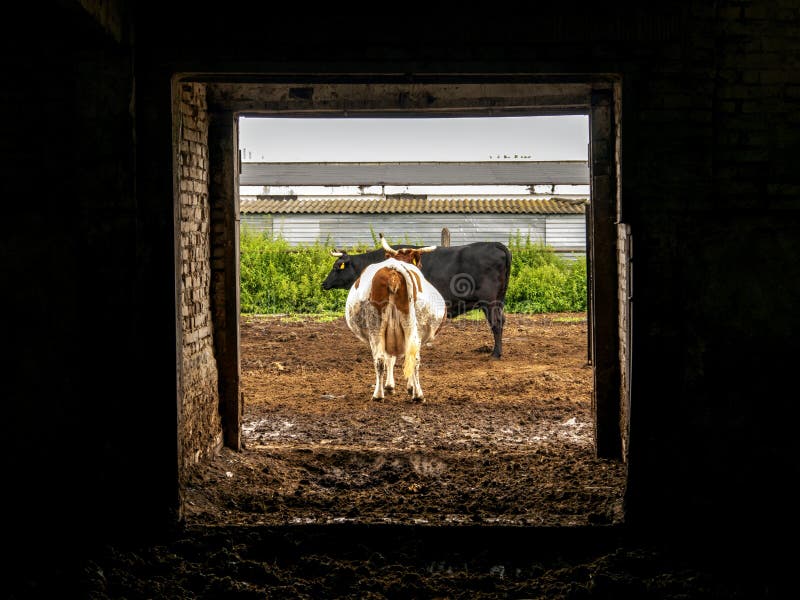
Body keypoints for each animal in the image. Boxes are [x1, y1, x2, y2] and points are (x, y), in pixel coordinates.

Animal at [323, 237, 511, 358]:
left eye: (336, 267)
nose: (323, 284)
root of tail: (495, 245)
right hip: (497, 302)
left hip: (490, 302)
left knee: (496, 323)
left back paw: (495, 354)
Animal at [344, 235, 446, 402]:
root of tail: (393, 269)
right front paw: (407, 387)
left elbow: (390, 358)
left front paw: (391, 386)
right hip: (412, 327)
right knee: (412, 359)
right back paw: (417, 395)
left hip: (376, 326)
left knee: (380, 360)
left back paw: (378, 394)